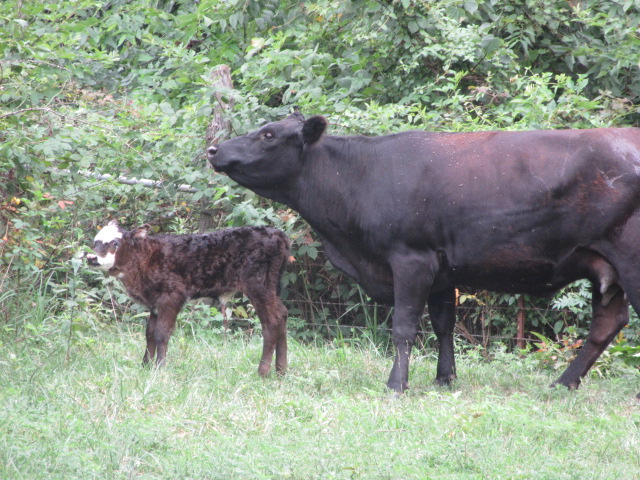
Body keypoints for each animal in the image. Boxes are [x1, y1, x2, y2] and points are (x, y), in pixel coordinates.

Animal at [86, 220, 290, 376]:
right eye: (95, 242)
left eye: (115, 243)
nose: (91, 258)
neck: (145, 258)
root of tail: (276, 233)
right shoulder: (154, 302)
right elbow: (149, 333)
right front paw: (145, 366)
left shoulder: (172, 296)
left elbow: (161, 333)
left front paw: (159, 368)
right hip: (270, 287)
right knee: (282, 314)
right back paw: (281, 371)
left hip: (258, 285)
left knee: (272, 321)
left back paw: (263, 372)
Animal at [207, 111, 640, 393]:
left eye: (268, 134)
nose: (213, 149)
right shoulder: (443, 270)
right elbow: (443, 324)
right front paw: (445, 379)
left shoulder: (411, 259)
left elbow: (404, 326)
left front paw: (396, 385)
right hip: (606, 267)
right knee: (607, 323)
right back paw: (562, 384)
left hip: (630, 259)